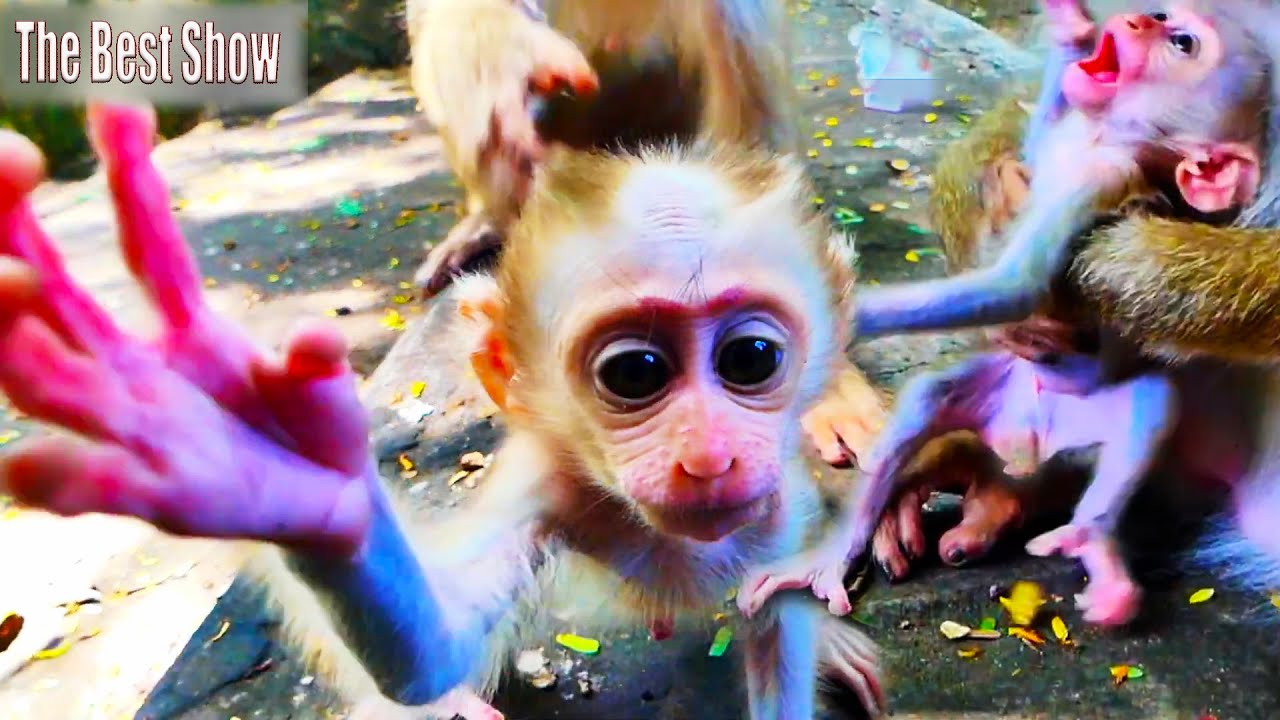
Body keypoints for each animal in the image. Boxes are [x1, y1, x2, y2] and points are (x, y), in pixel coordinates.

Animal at [0, 104, 887, 719]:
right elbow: (436, 648)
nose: (709, 455)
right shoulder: (545, 490)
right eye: (635, 373)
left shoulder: (779, 505)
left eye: (751, 360)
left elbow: (782, 622)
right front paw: (281, 476)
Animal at [736, 0, 1280, 627]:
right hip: (995, 394)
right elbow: (1029, 137)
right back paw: (841, 548)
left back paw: (1090, 542)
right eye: (1164, 19)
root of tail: (1029, 440)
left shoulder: (1100, 174)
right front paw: (1068, 33)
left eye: (1183, 43)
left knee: (1150, 401)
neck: (1102, 135)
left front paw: (842, 308)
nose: (1141, 21)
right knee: (927, 400)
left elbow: (1021, 283)